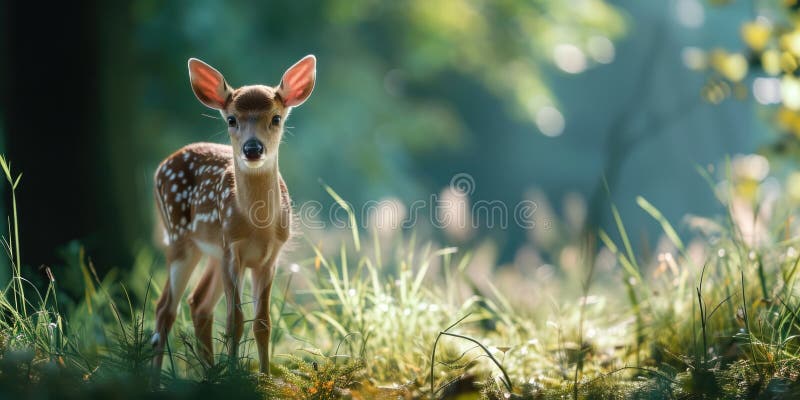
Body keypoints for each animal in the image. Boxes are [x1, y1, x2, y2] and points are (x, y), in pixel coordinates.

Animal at [150, 55, 315, 382]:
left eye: (276, 118)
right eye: (231, 119)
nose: (252, 148)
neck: (258, 226)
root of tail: (161, 166)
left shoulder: (269, 257)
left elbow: (262, 323)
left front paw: (264, 377)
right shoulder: (232, 249)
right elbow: (234, 321)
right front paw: (237, 377)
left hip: (211, 252)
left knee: (197, 304)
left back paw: (210, 373)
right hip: (180, 239)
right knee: (165, 309)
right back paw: (157, 379)